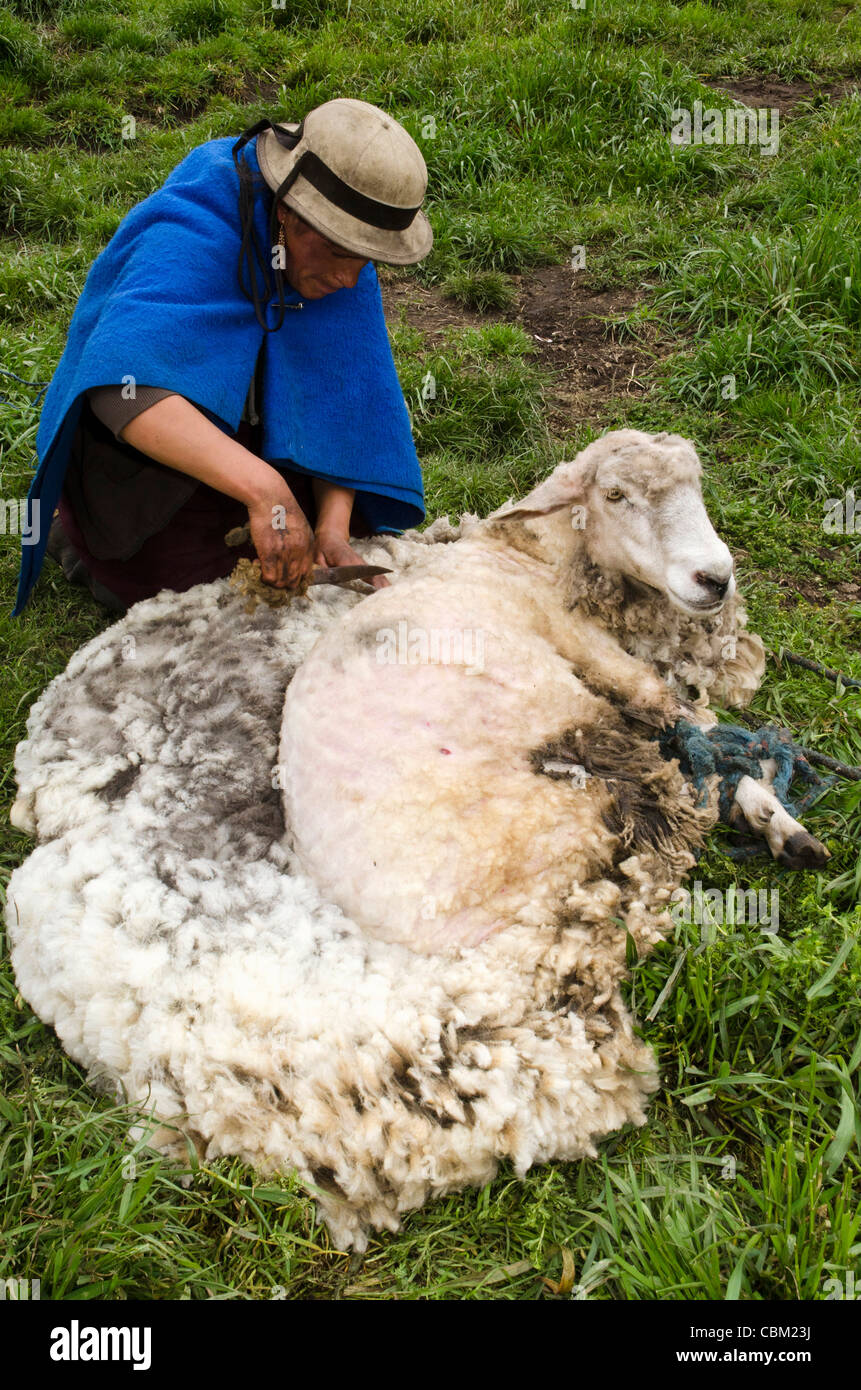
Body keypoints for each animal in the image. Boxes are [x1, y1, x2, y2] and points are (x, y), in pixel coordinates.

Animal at [278, 429, 828, 955]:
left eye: (697, 485)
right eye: (614, 495)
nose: (715, 578)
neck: (535, 556)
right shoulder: (591, 648)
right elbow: (694, 725)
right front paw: (768, 801)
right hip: (576, 773)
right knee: (684, 788)